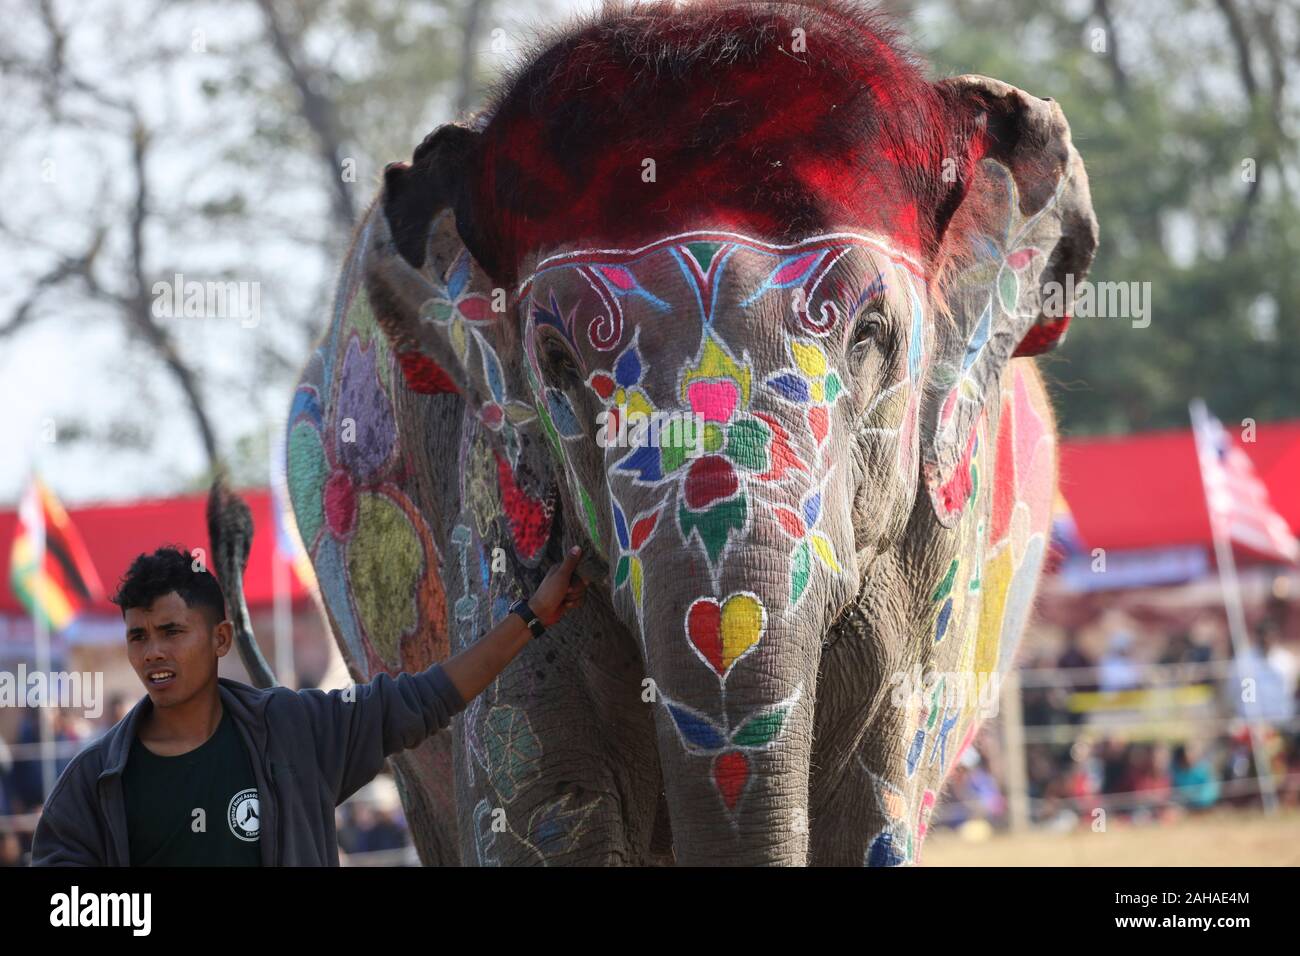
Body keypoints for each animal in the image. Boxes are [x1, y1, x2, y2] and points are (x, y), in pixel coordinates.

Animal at [280, 0, 1097, 866]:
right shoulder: (492, 500)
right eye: (559, 361)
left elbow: (869, 815)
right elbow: (538, 810)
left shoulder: (930, 560)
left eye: (869, 334)